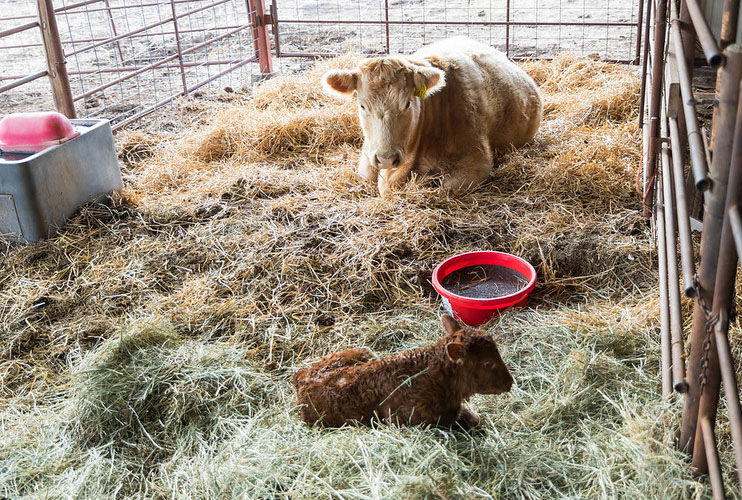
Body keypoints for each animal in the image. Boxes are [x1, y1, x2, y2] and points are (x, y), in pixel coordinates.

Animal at [322, 37, 543, 195]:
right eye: (362, 105)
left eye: (407, 103)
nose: (386, 159)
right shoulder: (367, 157)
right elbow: (367, 176)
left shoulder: (478, 161)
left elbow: (444, 186)